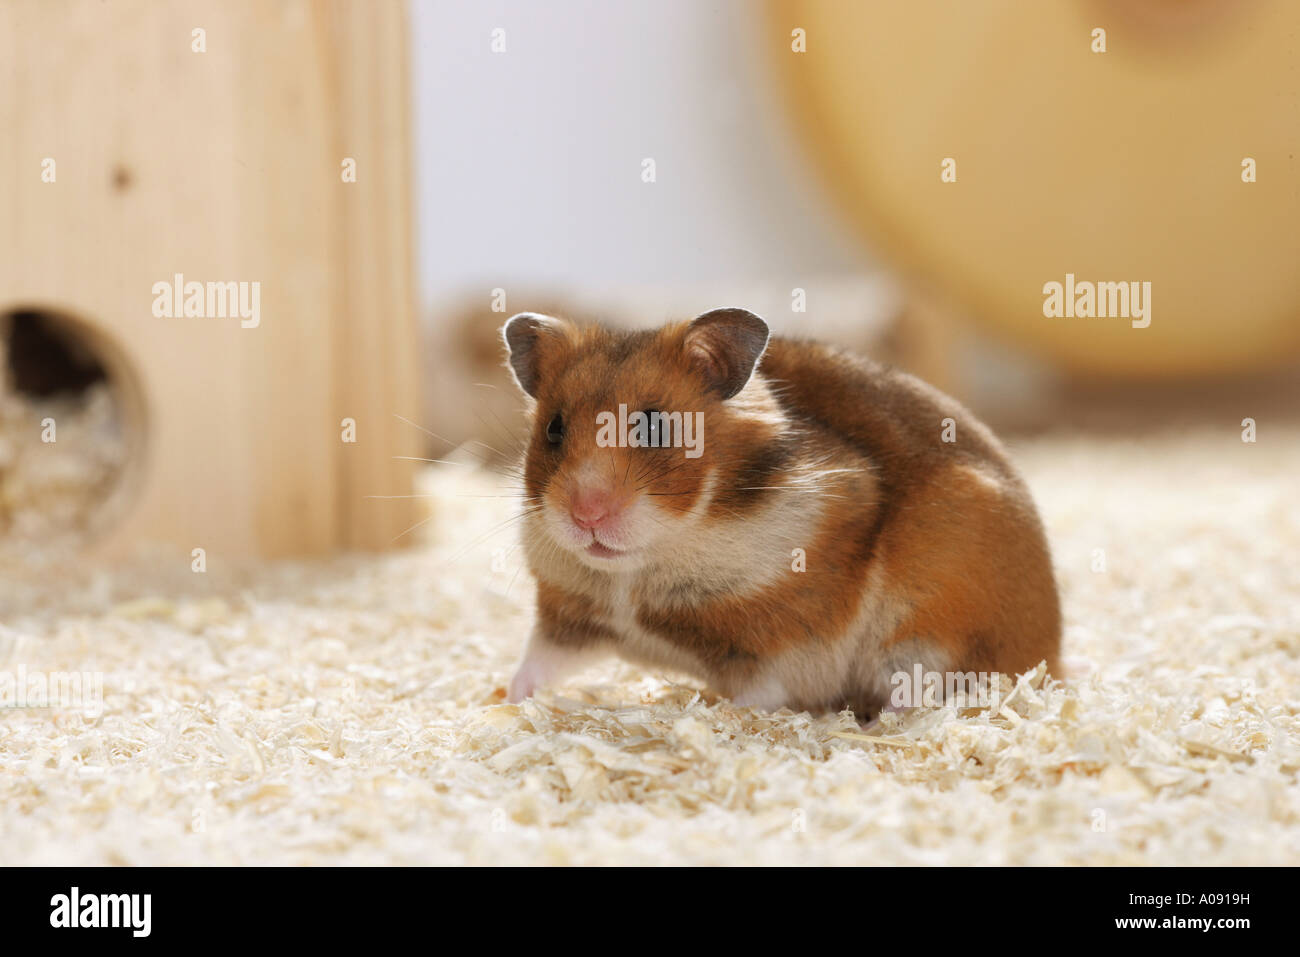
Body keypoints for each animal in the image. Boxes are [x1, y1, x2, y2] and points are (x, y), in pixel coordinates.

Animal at [501, 307, 1061, 716]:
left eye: (654, 427)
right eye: (553, 428)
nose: (585, 516)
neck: (641, 568)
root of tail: (1054, 658)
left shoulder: (789, 641)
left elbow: (764, 689)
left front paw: (719, 710)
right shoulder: (573, 617)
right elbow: (540, 657)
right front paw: (505, 697)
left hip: (932, 630)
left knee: (920, 693)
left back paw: (881, 719)